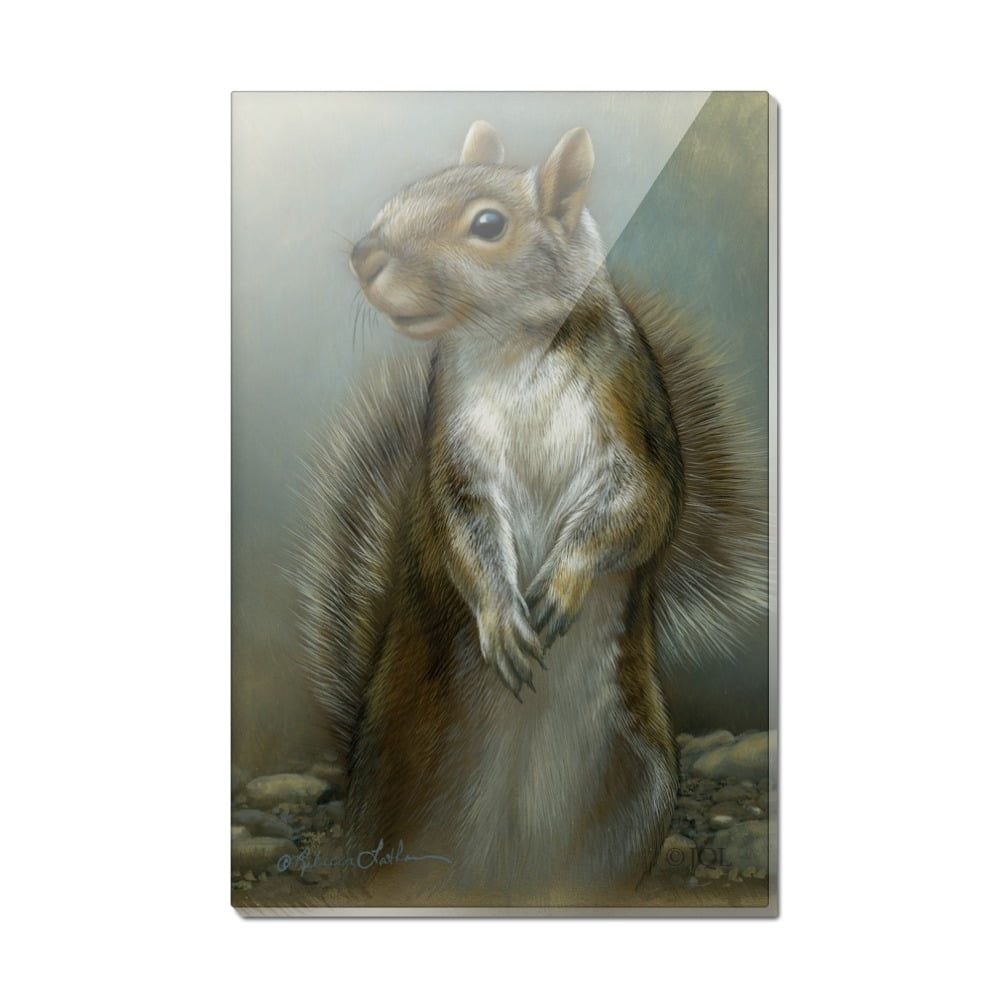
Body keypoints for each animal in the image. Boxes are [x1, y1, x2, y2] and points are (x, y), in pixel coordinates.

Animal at [292, 121, 768, 905]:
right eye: (404, 190)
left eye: (488, 224)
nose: (364, 254)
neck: (513, 347)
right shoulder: (456, 457)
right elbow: (462, 531)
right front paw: (501, 617)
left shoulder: (631, 421)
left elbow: (643, 508)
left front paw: (562, 584)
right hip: (410, 786)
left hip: (636, 786)